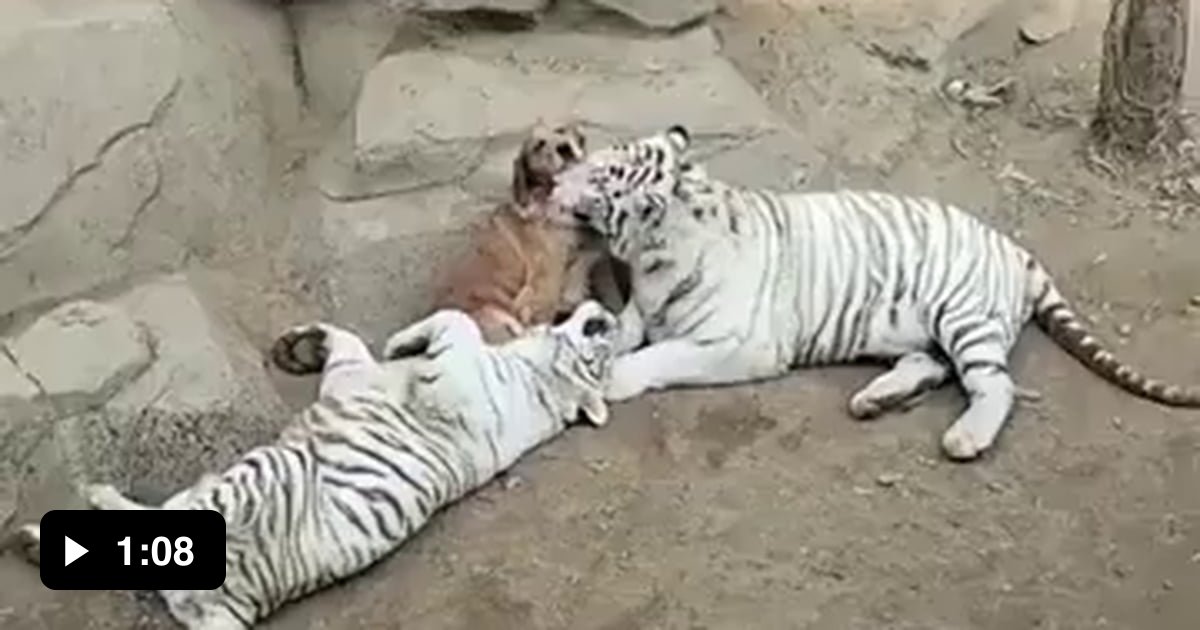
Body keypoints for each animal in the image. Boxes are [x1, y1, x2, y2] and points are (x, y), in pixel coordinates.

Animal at [4, 300, 616, 629]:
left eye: (600, 351)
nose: (609, 316)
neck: (543, 380)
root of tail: (223, 602)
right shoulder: (359, 374)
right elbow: (368, 334)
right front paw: (312, 342)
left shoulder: (443, 385)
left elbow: (455, 322)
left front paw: (399, 342)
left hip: (210, 501)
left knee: (141, 521)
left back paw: (54, 520)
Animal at [545, 124, 1200, 461]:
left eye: (599, 175)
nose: (554, 180)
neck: (655, 255)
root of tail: (1015, 249)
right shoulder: (641, 307)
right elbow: (624, 329)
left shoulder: (740, 345)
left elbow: (662, 355)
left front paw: (612, 377)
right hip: (918, 329)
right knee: (931, 365)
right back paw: (875, 399)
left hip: (963, 315)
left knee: (995, 385)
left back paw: (964, 437)